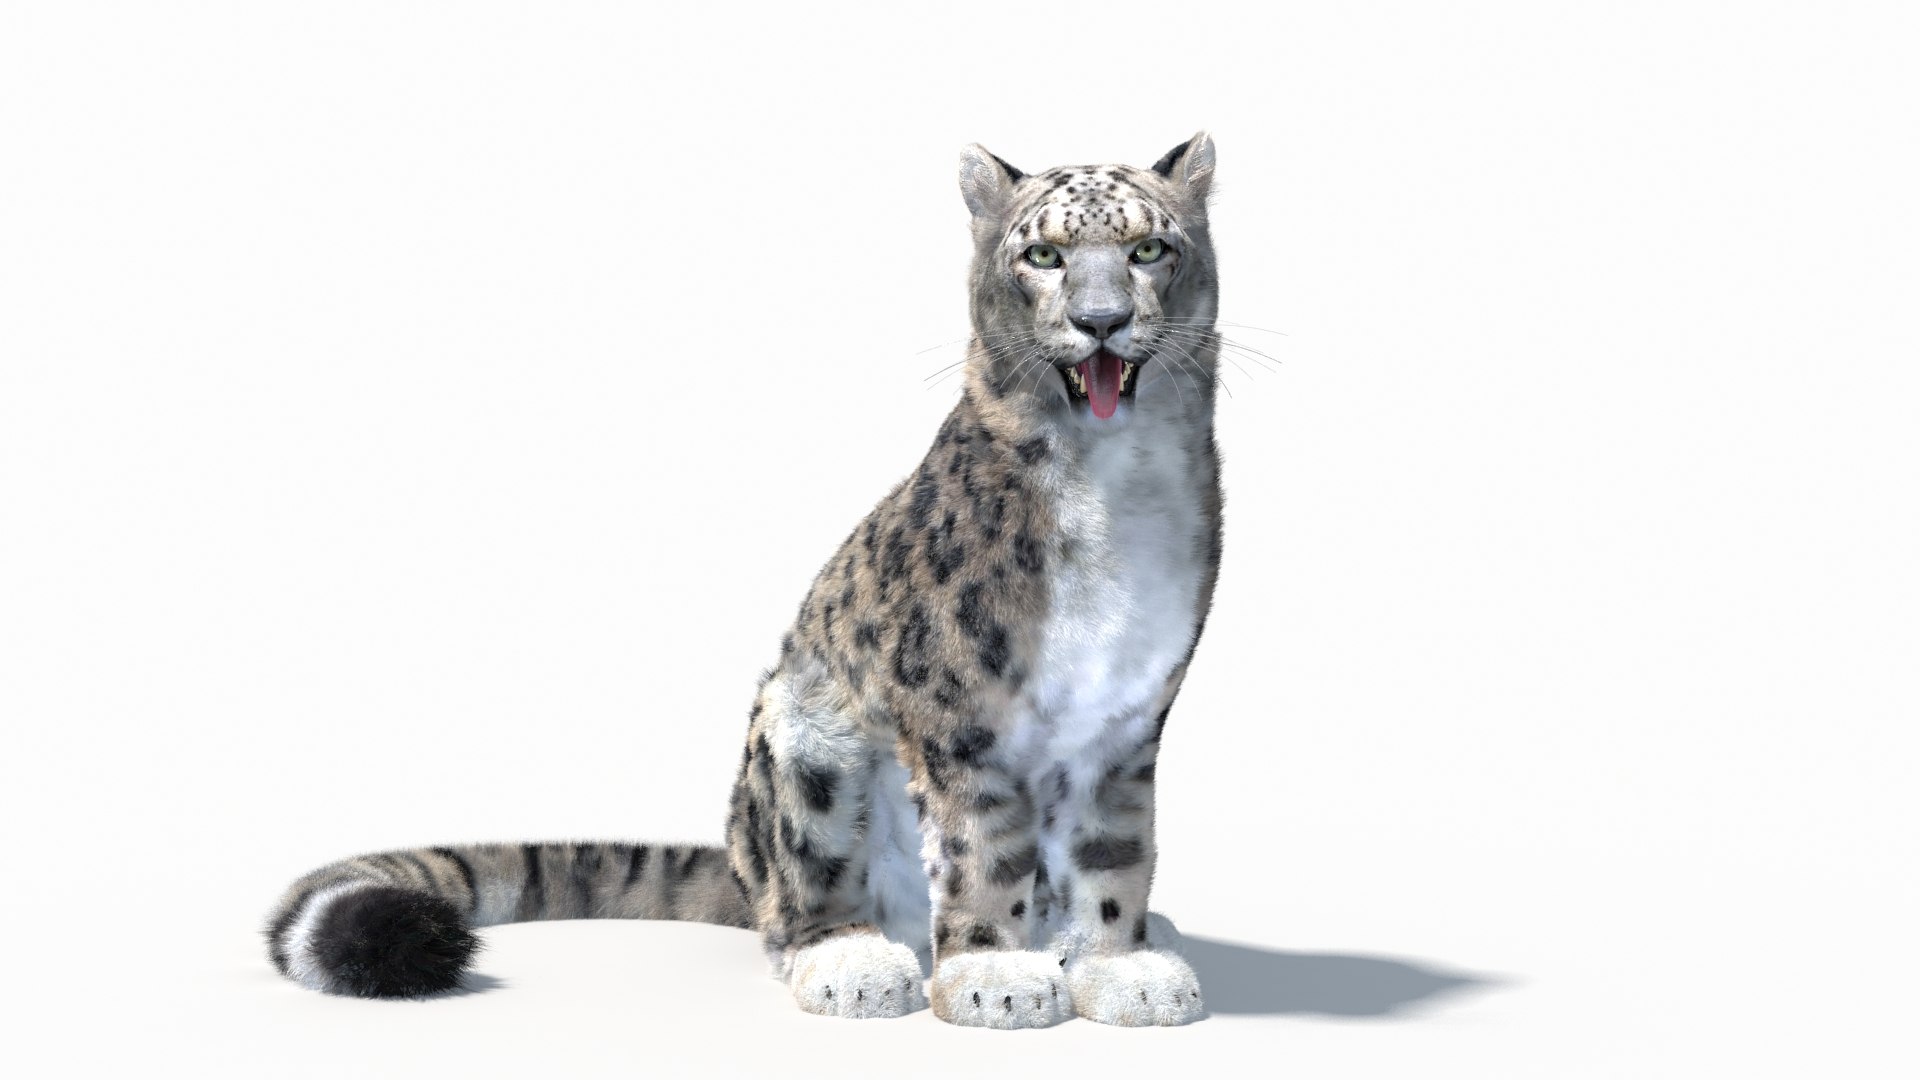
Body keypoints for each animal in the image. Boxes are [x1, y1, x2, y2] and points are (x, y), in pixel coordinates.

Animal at [265, 133, 1225, 1028]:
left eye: (1149, 249)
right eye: (1045, 256)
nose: (1101, 320)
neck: (1121, 487)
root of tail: (744, 862)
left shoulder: (1127, 716)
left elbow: (1112, 853)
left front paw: (1118, 967)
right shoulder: (960, 709)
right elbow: (986, 849)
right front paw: (995, 976)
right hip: (804, 733)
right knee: (799, 908)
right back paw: (857, 960)